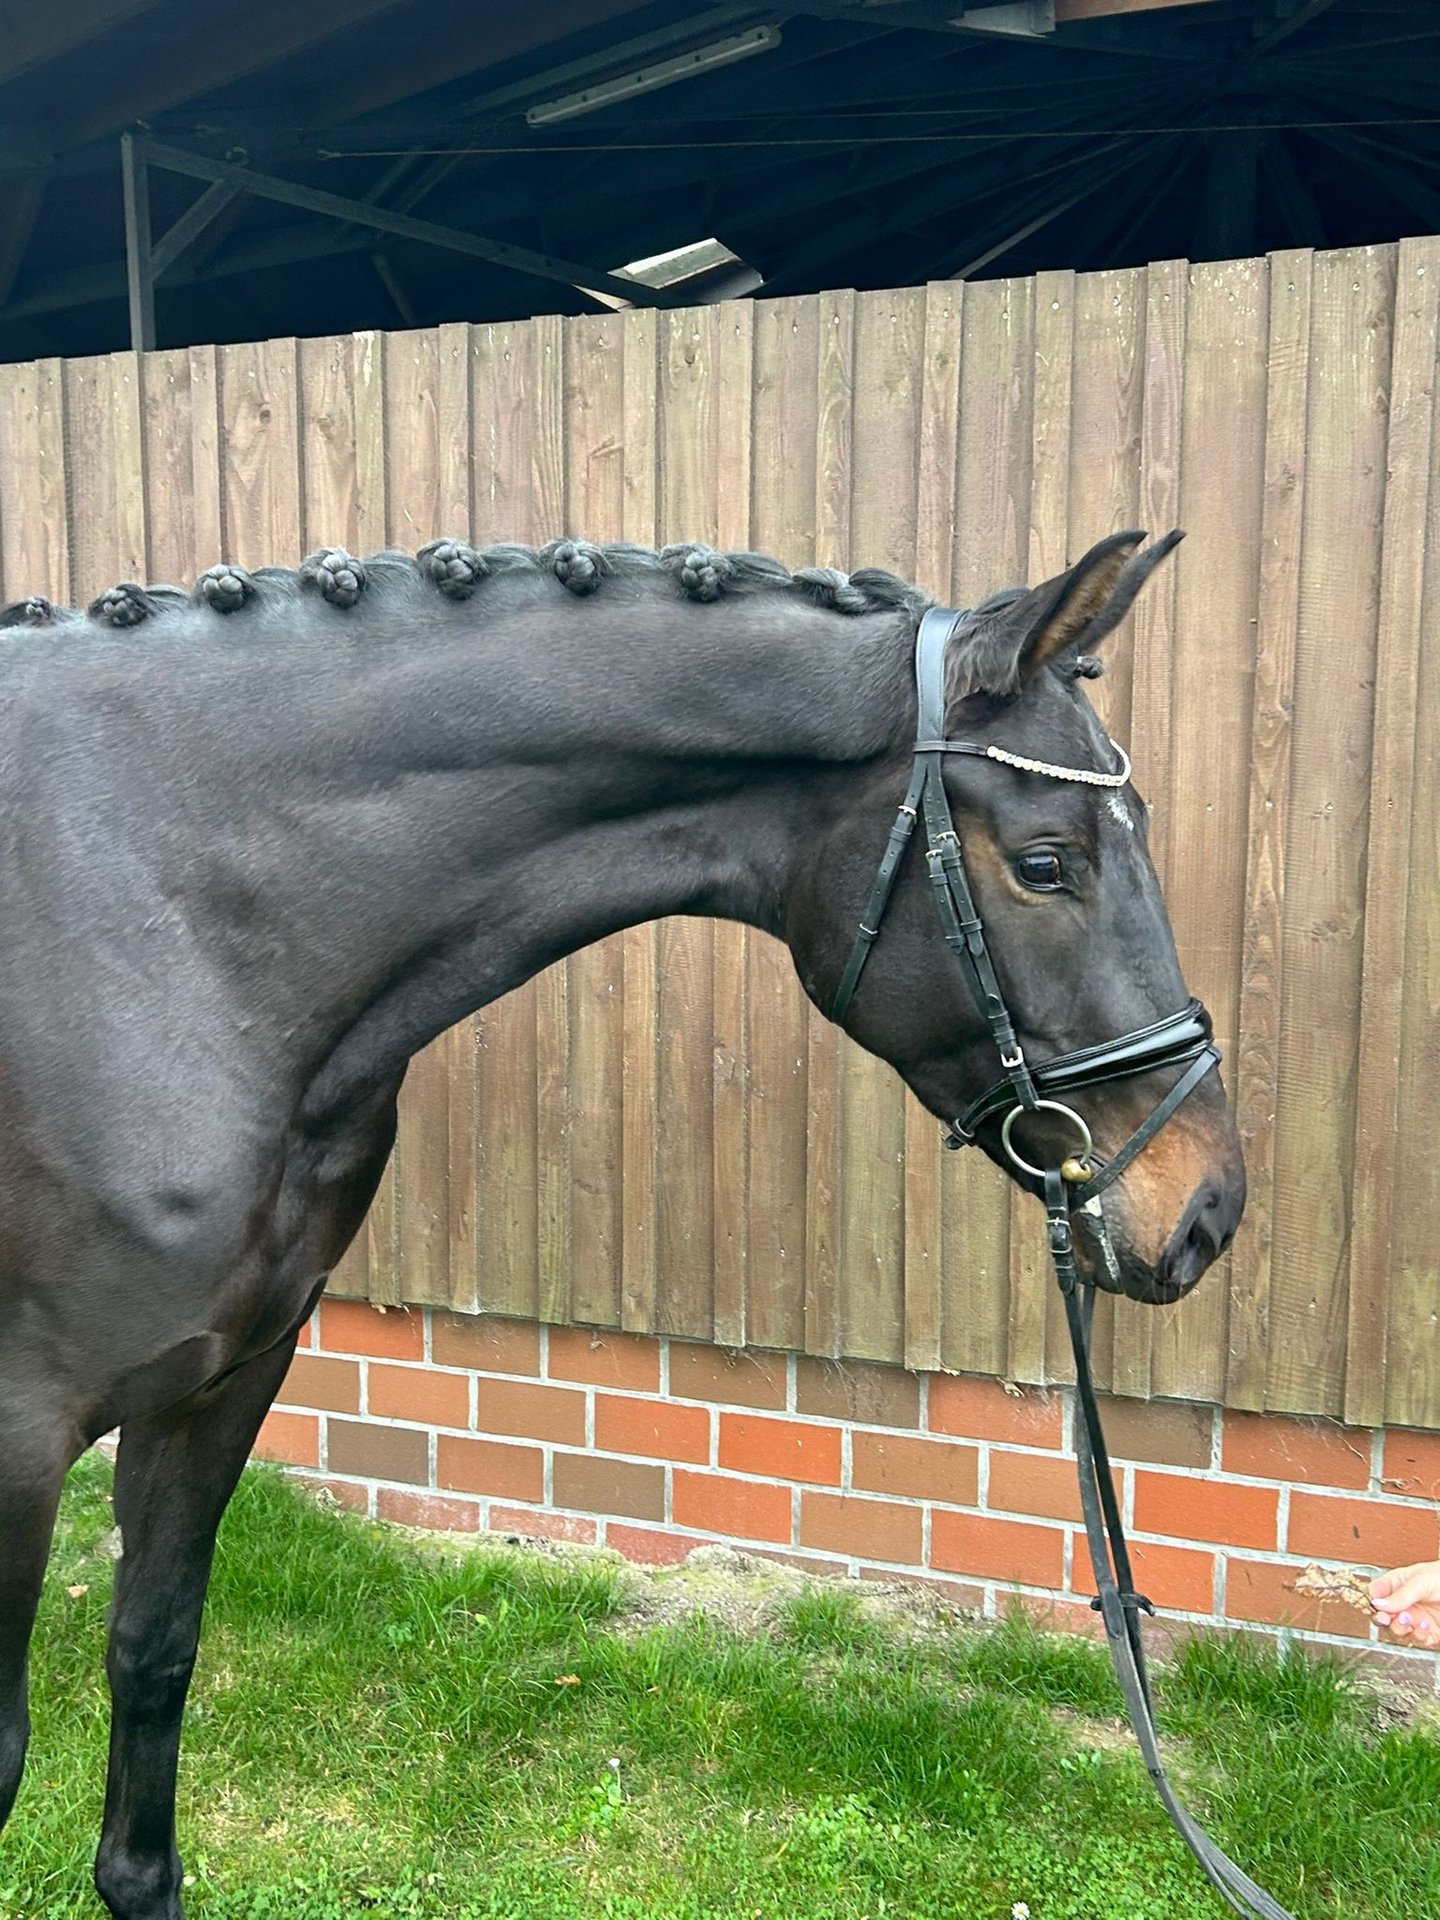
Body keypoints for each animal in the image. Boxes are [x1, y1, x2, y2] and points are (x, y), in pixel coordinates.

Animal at [0, 526, 1243, 1919]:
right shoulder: (17, 1436)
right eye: (1044, 864)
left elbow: (154, 1650)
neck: (163, 921)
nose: (1207, 1207)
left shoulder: (220, 1382)